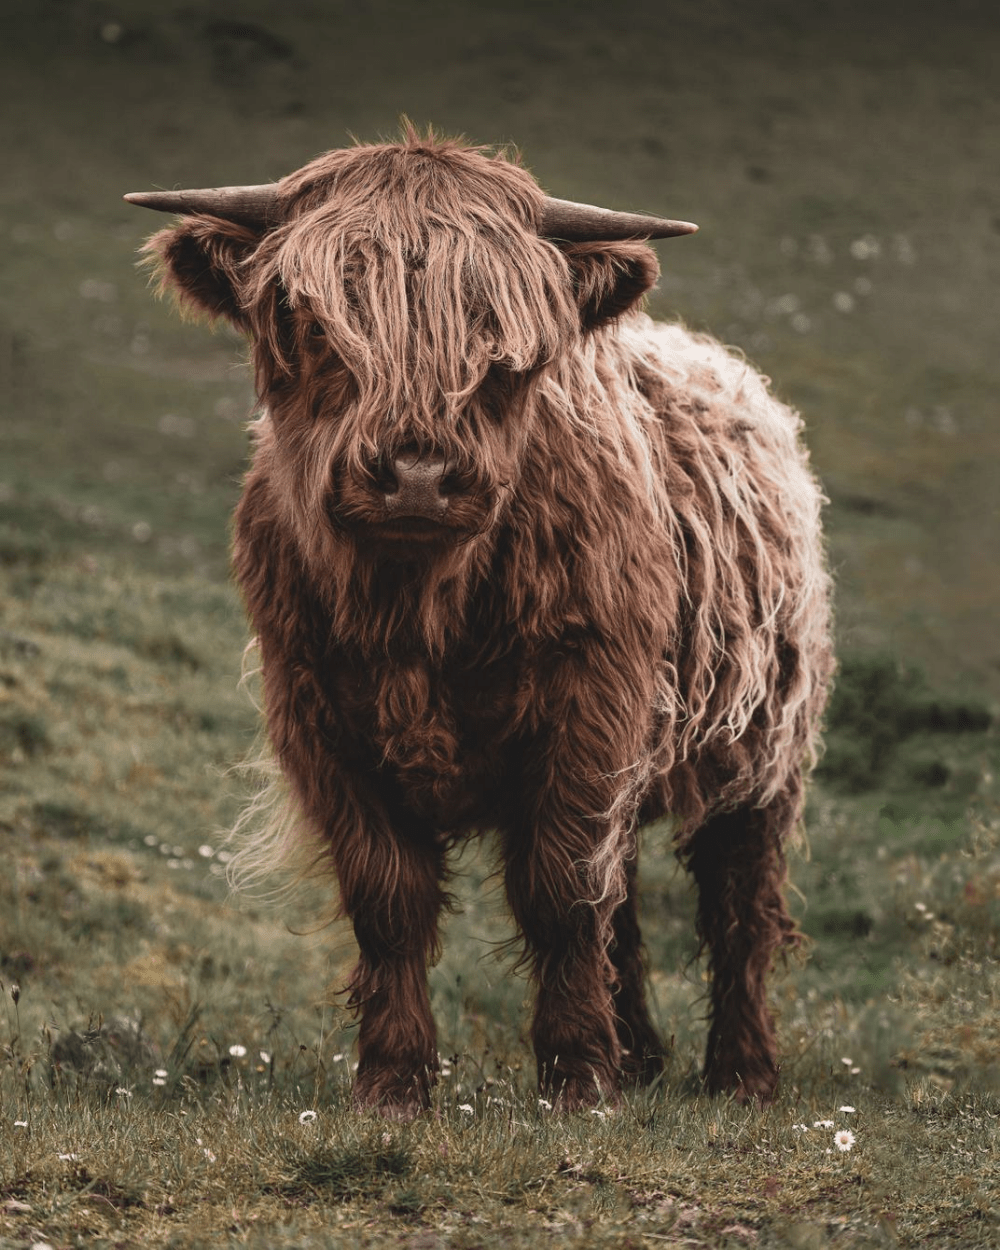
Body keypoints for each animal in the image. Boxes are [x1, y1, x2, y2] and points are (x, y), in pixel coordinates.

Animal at [126, 127, 833, 1117]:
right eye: (311, 320)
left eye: (506, 341)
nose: (418, 475)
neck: (419, 605)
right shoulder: (320, 721)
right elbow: (390, 900)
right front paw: (393, 1082)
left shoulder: (592, 709)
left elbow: (563, 889)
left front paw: (577, 1078)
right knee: (628, 901)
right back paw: (643, 1058)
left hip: (764, 749)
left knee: (739, 901)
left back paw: (741, 1076)